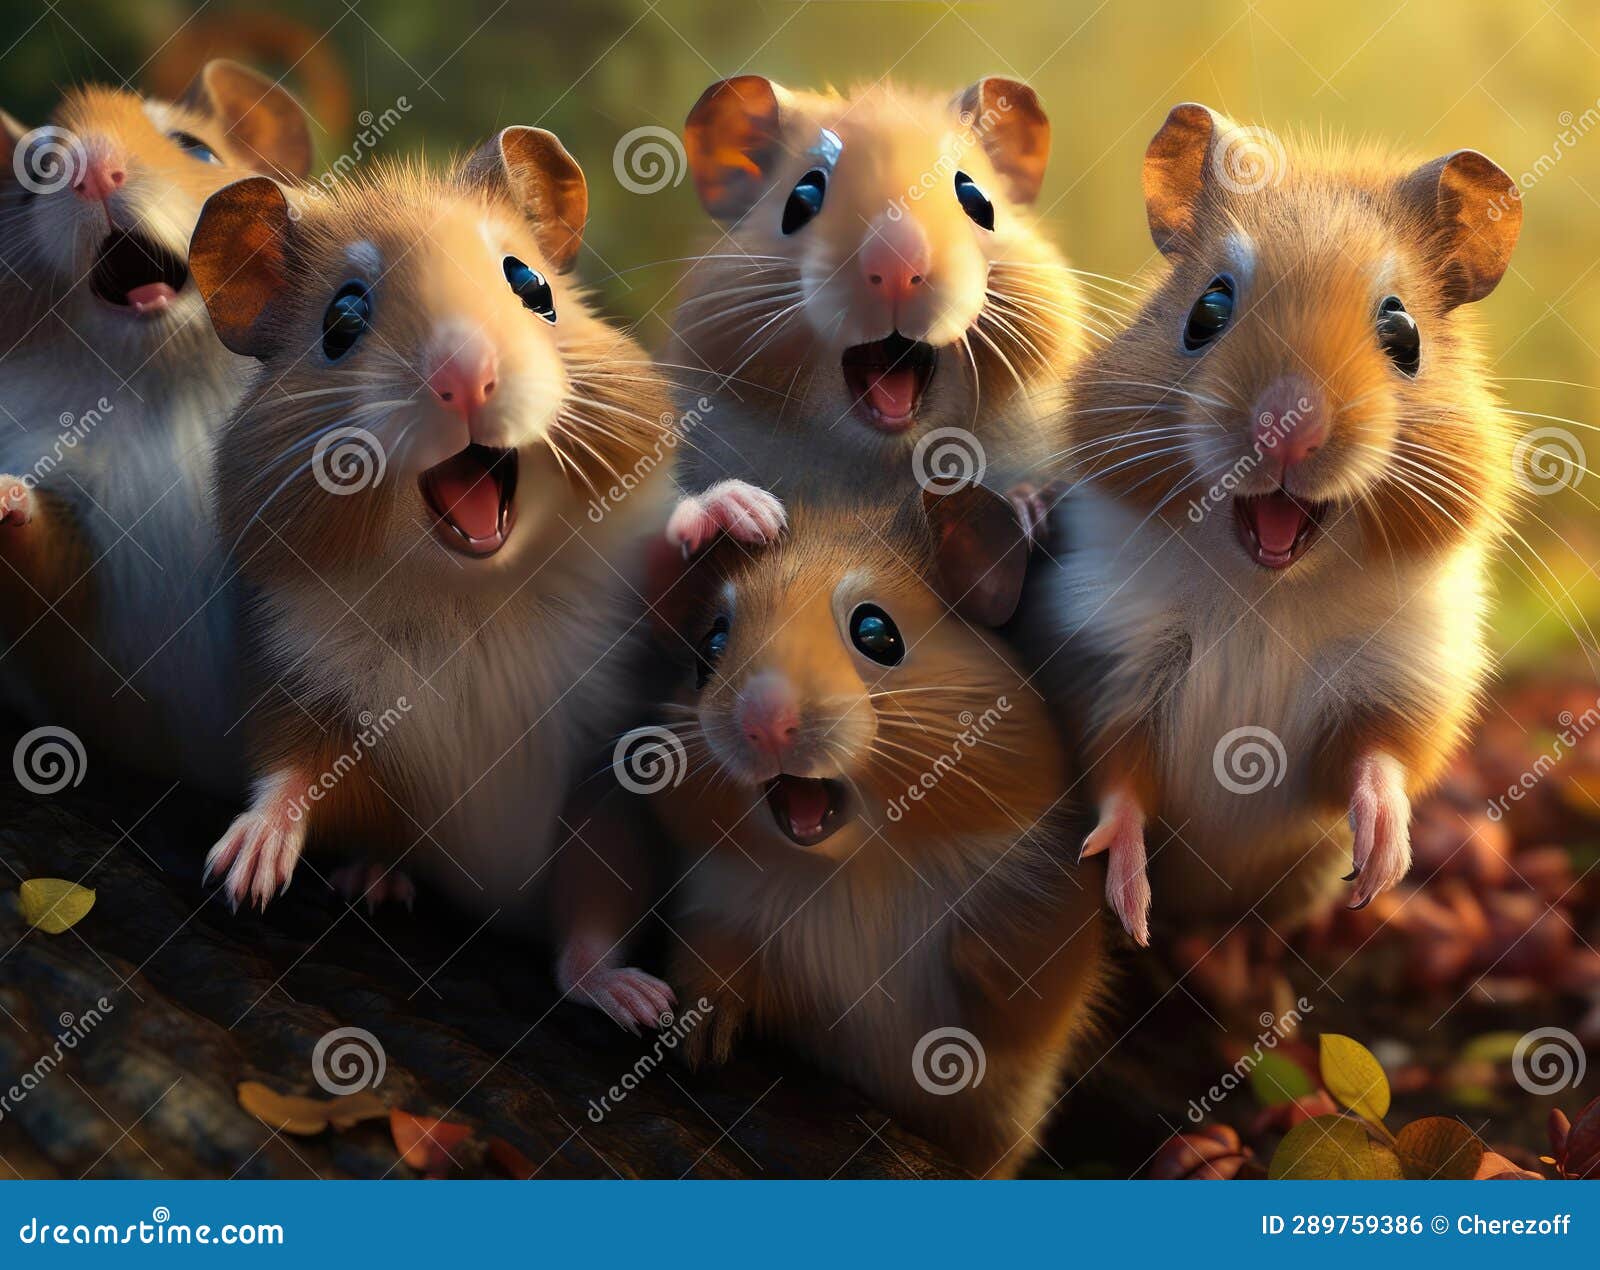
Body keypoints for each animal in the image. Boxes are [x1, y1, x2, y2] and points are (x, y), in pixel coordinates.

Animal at [0, 61, 314, 794]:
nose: (90, 170)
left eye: (197, 149)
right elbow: (44, 573)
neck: (161, 382)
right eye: (30, 182)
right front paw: (4, 495)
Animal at [188, 129, 690, 1030]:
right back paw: (374, 884)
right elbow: (292, 773)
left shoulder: (631, 656)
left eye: (533, 287)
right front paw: (240, 874)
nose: (466, 379)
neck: (473, 592)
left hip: (600, 819)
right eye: (341, 320)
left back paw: (640, 1002)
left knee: (586, 934)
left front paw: (746, 513)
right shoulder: (303, 679)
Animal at [645, 485, 1104, 1177]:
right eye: (709, 648)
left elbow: (1024, 989)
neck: (855, 869)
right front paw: (698, 1043)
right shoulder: (717, 902)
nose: (762, 722)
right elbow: (710, 962)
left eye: (877, 633)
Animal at [1025, 104, 1522, 944]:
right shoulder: (1107, 663)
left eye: (1405, 338)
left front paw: (1380, 867)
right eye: (1207, 311)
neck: (1265, 591)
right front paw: (1133, 912)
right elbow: (1119, 784)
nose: (1286, 431)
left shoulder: (1404, 679)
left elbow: (1381, 763)